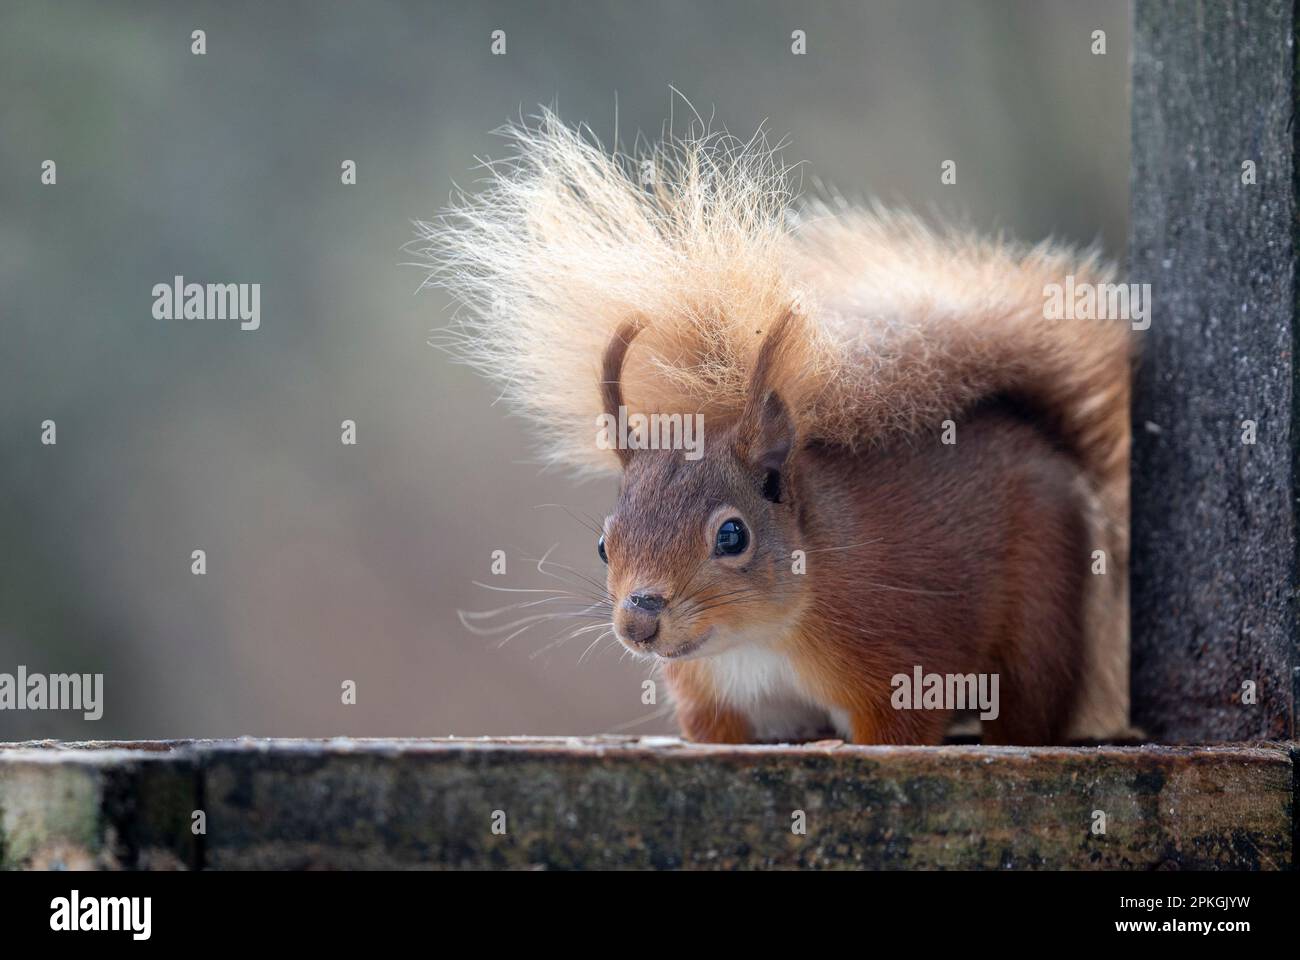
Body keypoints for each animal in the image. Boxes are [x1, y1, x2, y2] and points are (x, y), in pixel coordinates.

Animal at [417, 111, 1133, 746]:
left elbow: (896, 733)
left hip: (1042, 620)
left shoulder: (900, 664)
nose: (639, 624)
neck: (756, 640)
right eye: (603, 544)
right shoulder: (716, 703)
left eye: (732, 536)